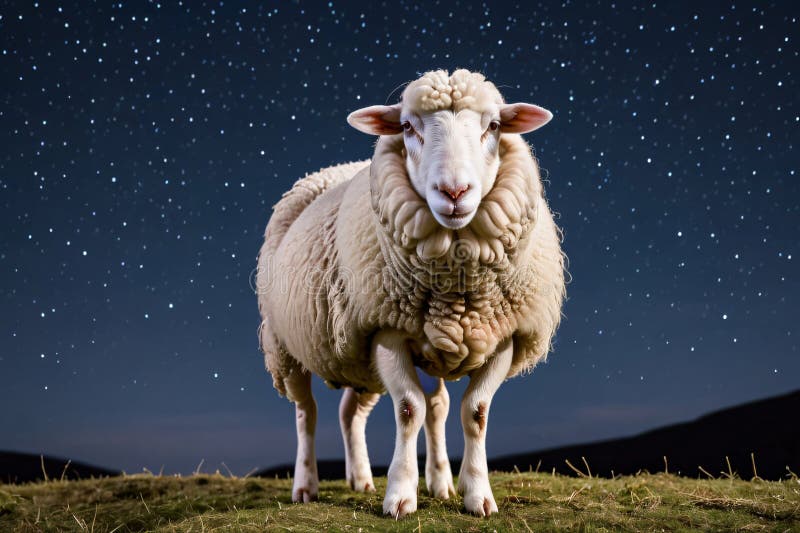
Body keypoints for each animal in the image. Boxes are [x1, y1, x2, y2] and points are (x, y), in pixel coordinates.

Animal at [255, 69, 565, 518]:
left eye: (493, 126)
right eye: (406, 127)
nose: (454, 192)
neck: (456, 286)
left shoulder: (505, 335)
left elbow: (475, 412)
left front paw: (476, 495)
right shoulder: (386, 332)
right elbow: (408, 409)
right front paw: (400, 496)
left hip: (365, 357)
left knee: (362, 412)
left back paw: (373, 479)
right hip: (286, 346)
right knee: (305, 413)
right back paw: (306, 485)